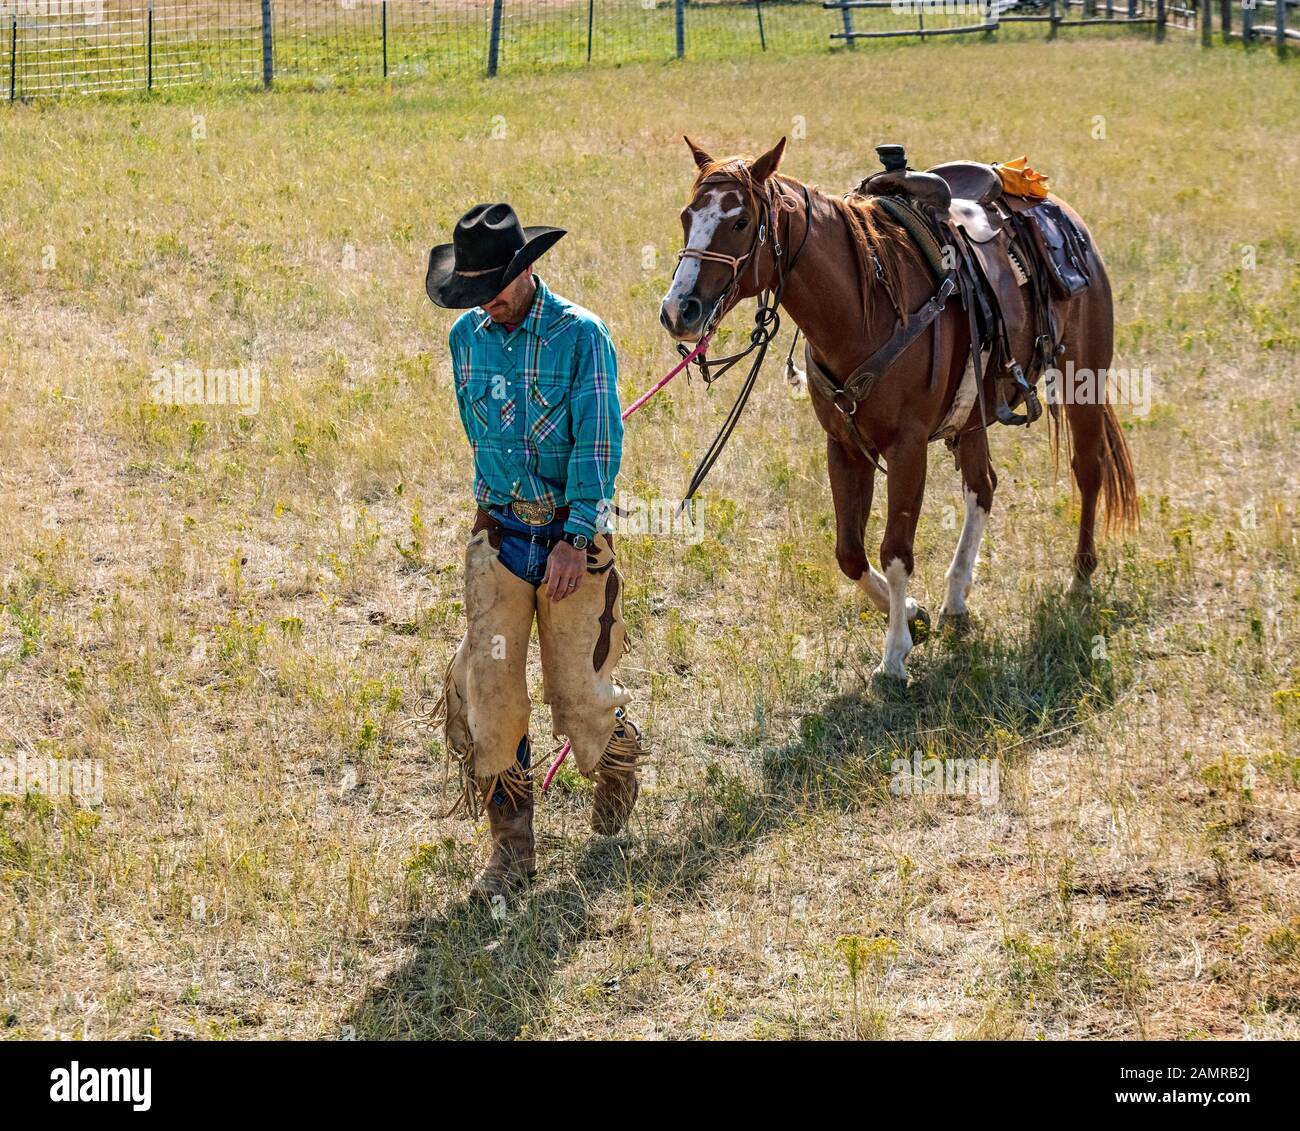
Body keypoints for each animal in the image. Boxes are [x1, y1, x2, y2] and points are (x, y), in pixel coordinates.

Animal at [659, 136, 1137, 682]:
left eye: (739, 222)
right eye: (687, 215)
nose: (678, 310)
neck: (863, 311)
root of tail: (1056, 207)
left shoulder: (908, 450)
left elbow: (895, 552)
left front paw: (894, 657)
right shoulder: (844, 445)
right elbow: (849, 552)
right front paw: (910, 613)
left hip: (1086, 379)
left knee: (1088, 469)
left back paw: (1079, 578)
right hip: (974, 413)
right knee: (983, 486)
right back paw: (955, 598)